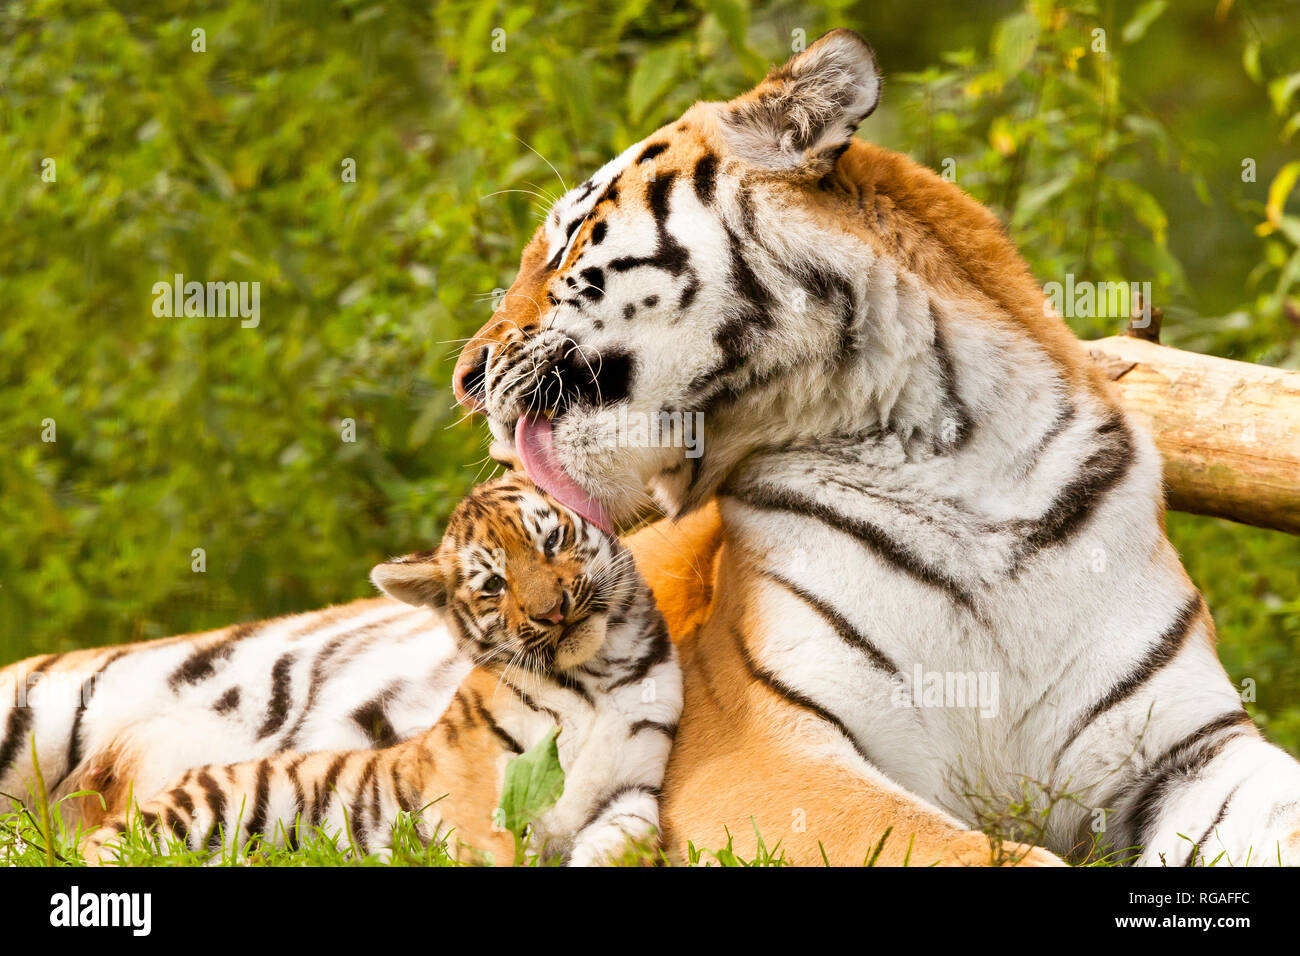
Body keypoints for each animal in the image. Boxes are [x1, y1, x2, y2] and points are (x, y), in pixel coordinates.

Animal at [447, 29, 1300, 866]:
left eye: (564, 243)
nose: (465, 380)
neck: (961, 468)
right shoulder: (758, 751)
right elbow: (988, 854)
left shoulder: (1192, 744)